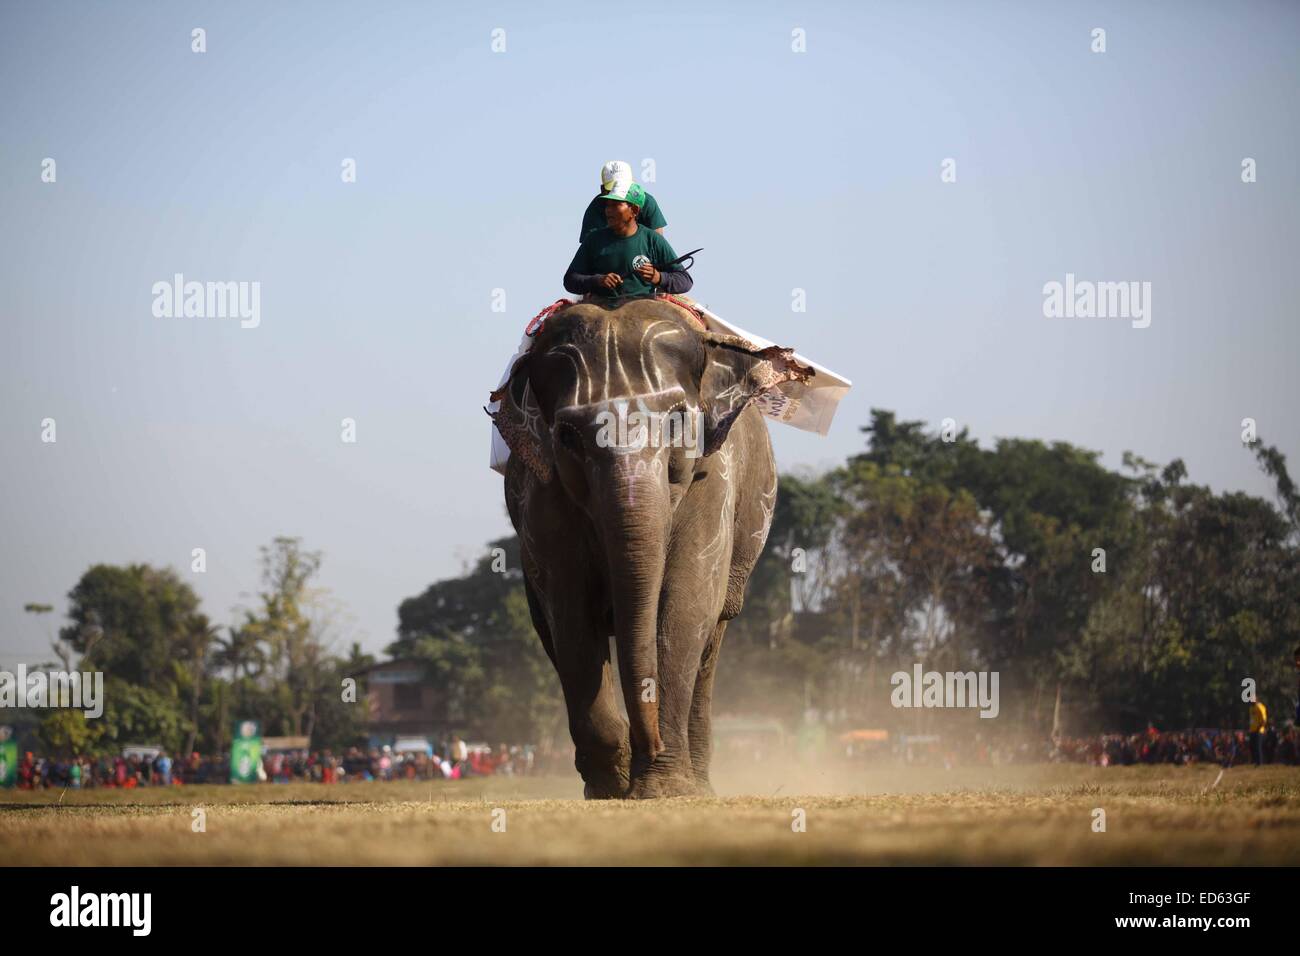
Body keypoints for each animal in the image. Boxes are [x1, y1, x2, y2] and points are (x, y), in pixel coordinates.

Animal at [489, 296, 811, 798]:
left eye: (678, 420)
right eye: (567, 435)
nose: (652, 743)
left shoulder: (713, 477)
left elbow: (685, 604)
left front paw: (663, 789)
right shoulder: (541, 491)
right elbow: (570, 611)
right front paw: (613, 786)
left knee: (713, 634)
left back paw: (699, 783)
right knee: (549, 627)